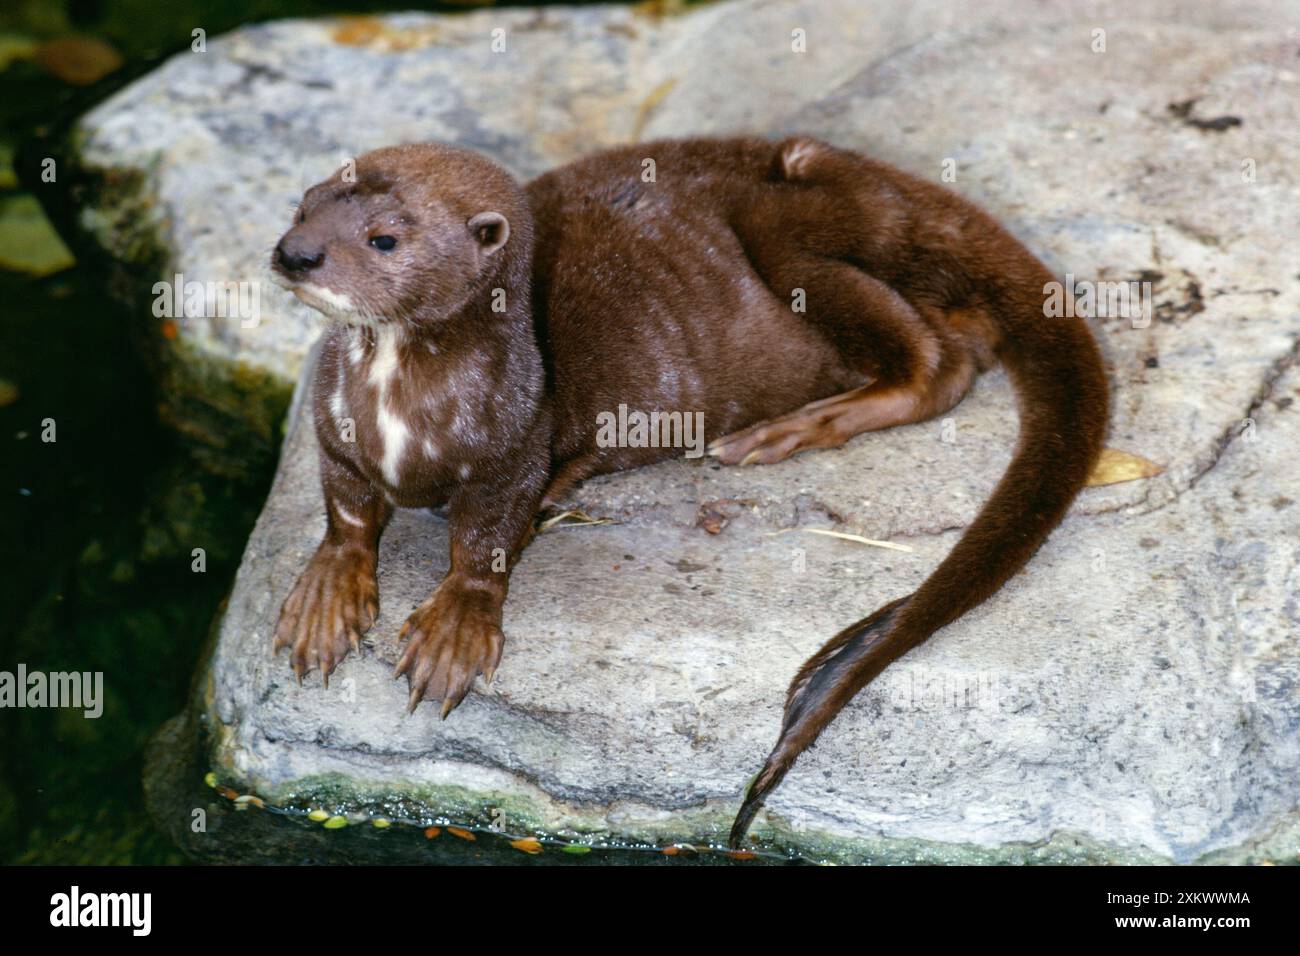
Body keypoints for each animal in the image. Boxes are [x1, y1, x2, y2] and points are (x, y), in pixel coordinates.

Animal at [269, 137, 1109, 846]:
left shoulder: (517, 454)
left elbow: (488, 541)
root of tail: (911, 193)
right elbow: (346, 510)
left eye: (384, 238)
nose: (295, 254)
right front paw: (324, 601)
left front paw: (452, 632)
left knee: (940, 366)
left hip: (797, 231)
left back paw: (788, 430)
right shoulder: (334, 433)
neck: (399, 418)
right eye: (303, 205)